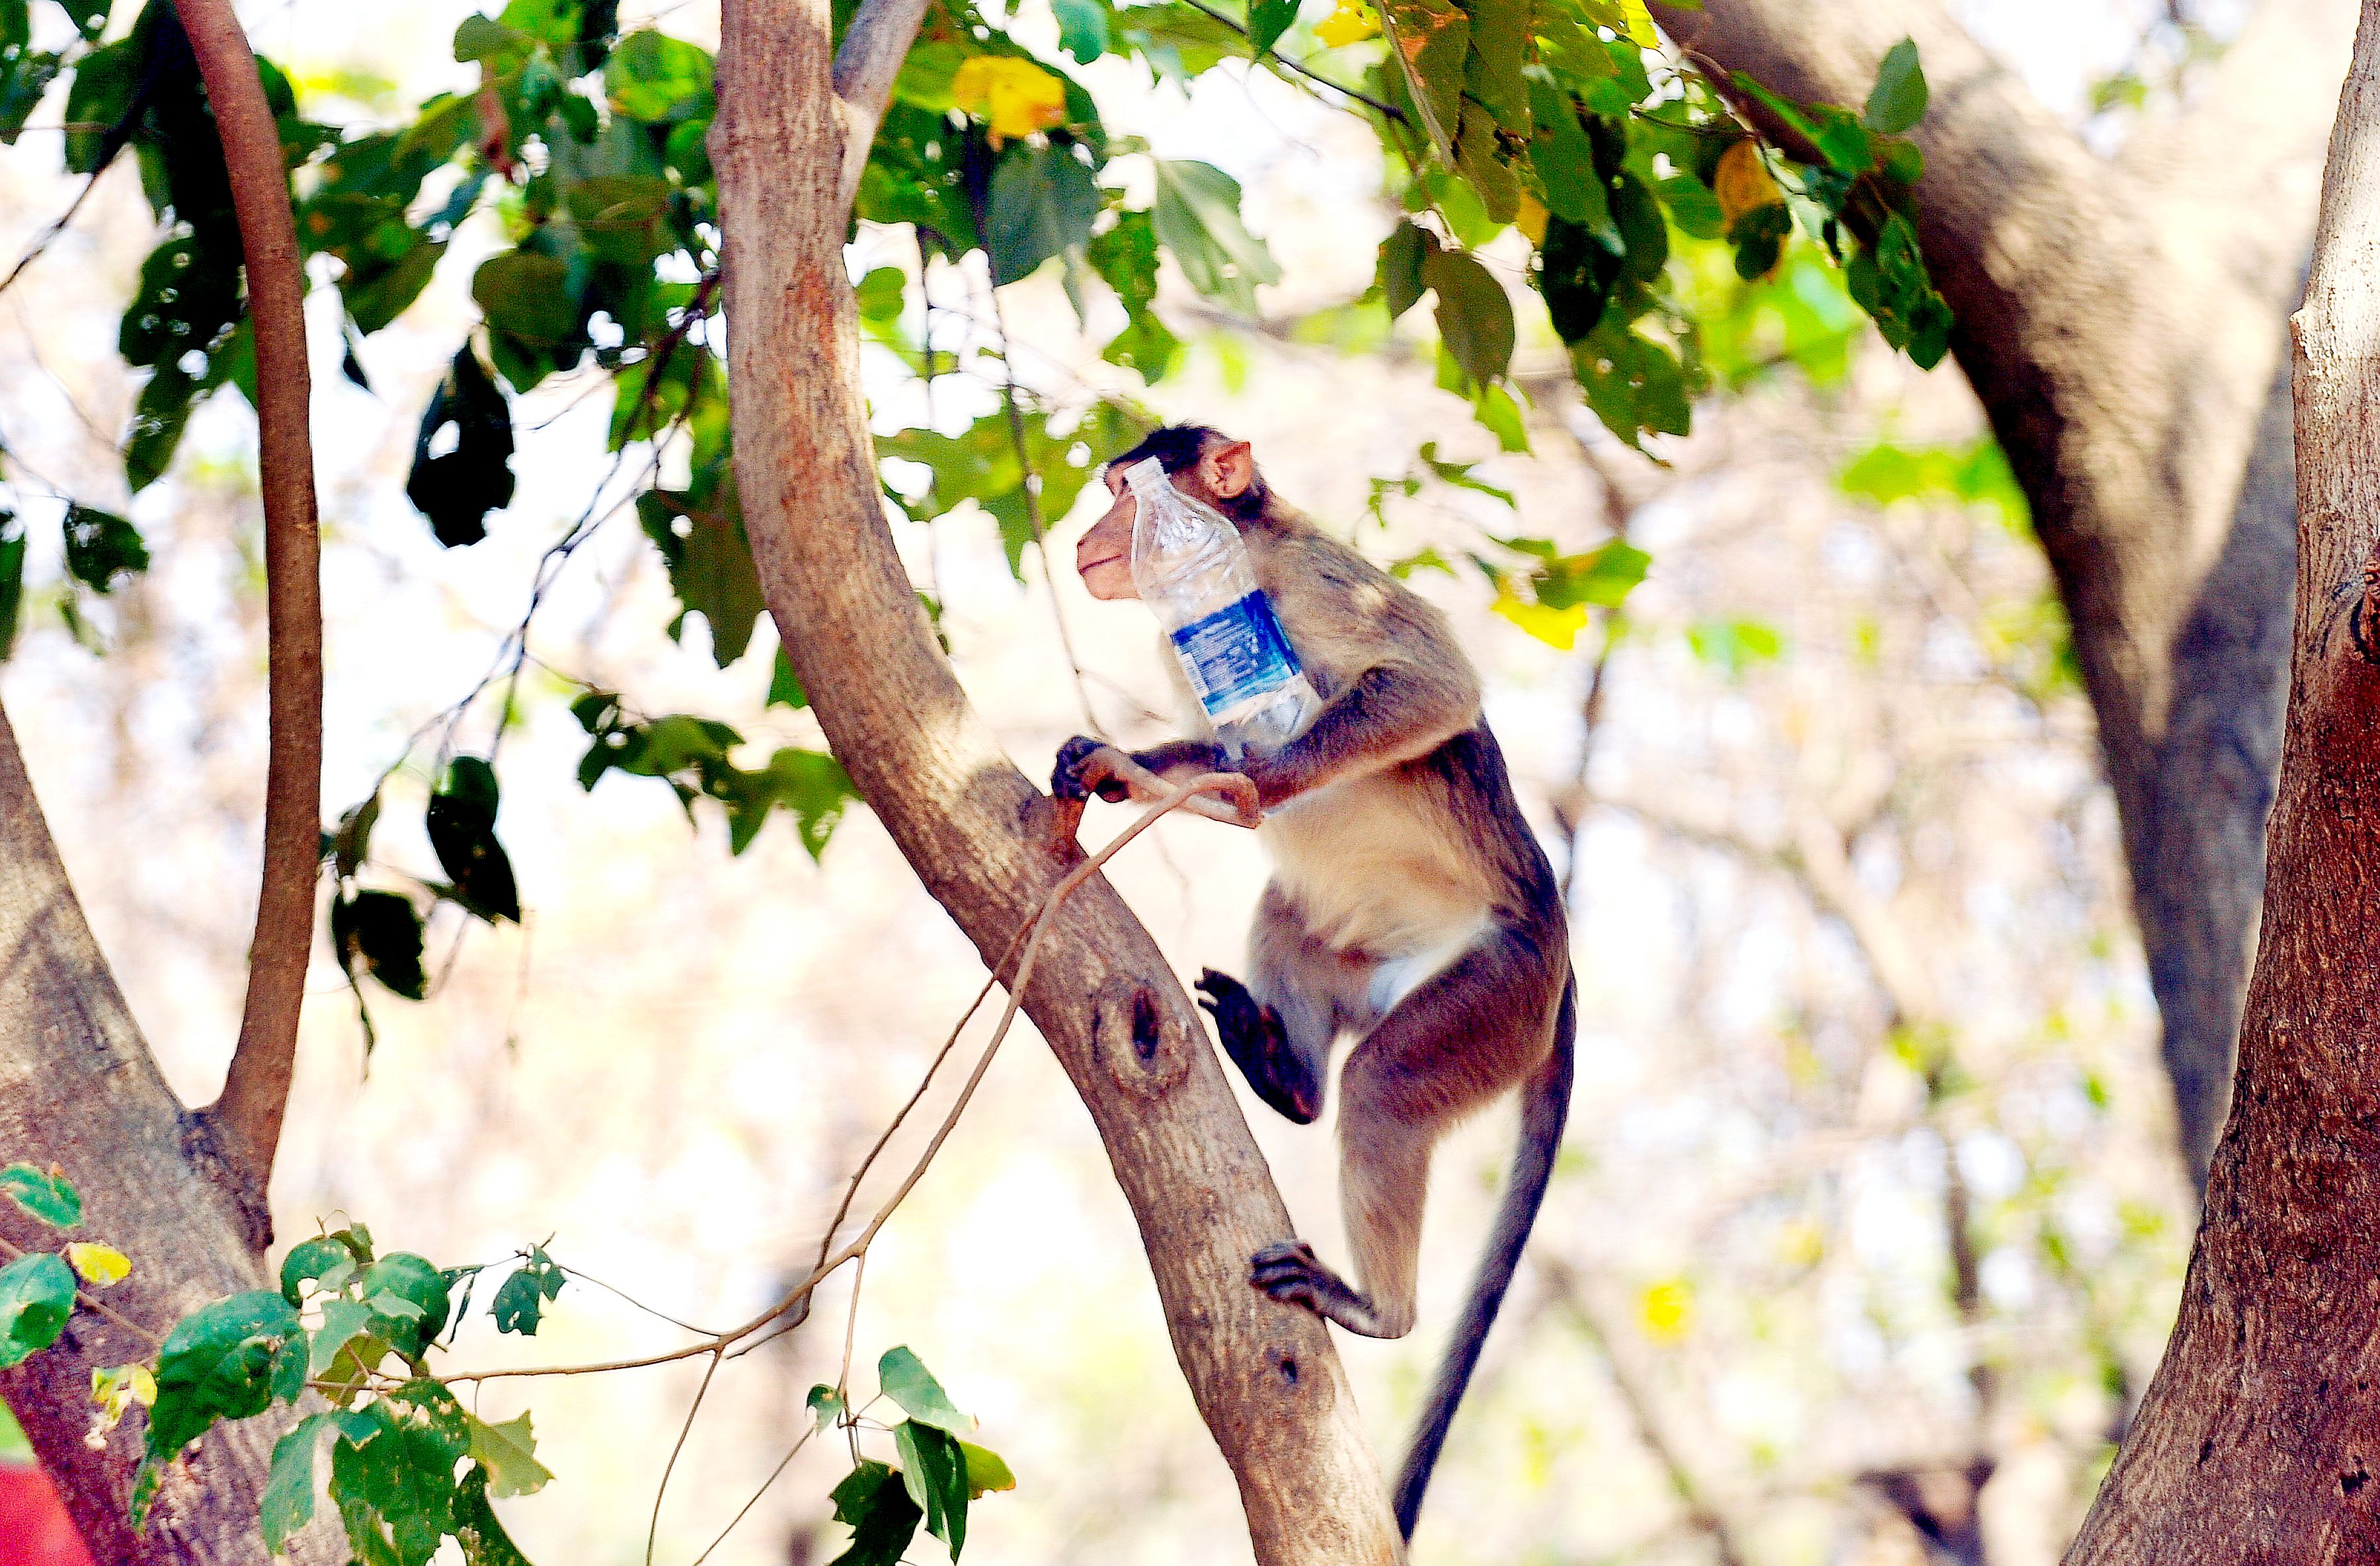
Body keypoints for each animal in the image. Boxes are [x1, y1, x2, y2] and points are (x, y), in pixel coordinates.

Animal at [1050, 425, 1575, 1539]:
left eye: (1123, 491)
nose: (1085, 536)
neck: (1242, 567)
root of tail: (1558, 947)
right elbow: (1203, 754)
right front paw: (1120, 761)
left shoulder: (1323, 579)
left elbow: (1431, 685)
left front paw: (1262, 776)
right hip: (1368, 947)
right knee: (1294, 908)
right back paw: (1284, 1073)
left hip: (1495, 994)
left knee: (1386, 1083)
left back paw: (1376, 1307)